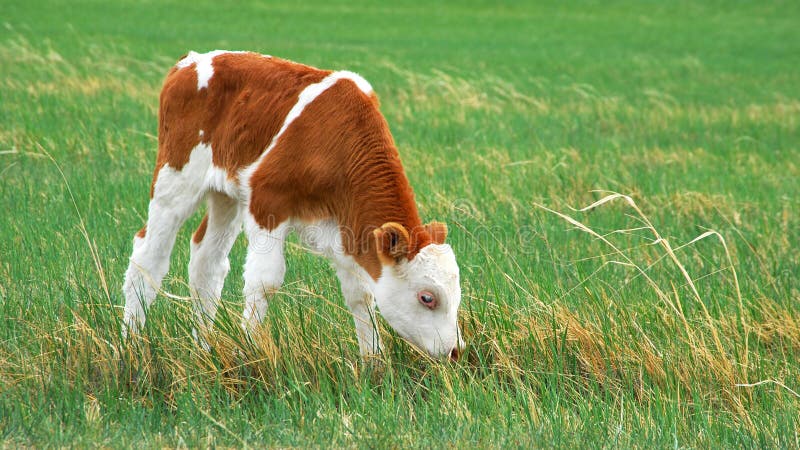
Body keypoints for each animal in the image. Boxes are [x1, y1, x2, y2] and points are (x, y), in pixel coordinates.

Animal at [122, 50, 464, 360]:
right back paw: (131, 347)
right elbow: (265, 281)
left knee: (208, 263)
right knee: (149, 256)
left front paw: (372, 362)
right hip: (175, 179)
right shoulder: (267, 201)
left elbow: (361, 294)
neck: (336, 142)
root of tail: (191, 60)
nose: (455, 351)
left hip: (225, 195)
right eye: (427, 298)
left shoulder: (347, 229)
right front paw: (251, 353)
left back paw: (202, 351)